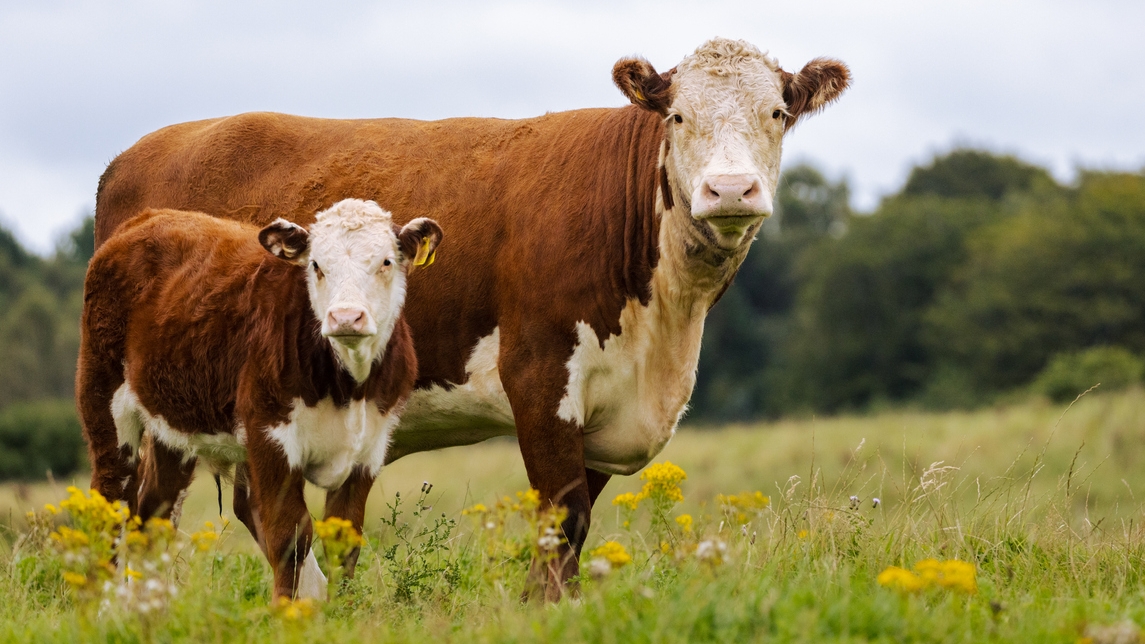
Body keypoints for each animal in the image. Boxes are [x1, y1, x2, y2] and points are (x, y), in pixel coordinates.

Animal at [77, 199, 442, 599]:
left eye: (386, 262)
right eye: (316, 265)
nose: (346, 317)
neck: (349, 385)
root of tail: (150, 217)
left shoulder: (369, 449)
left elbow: (344, 541)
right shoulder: (270, 437)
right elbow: (290, 536)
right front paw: (286, 610)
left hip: (173, 424)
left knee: (152, 515)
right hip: (104, 400)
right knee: (109, 502)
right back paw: (99, 604)